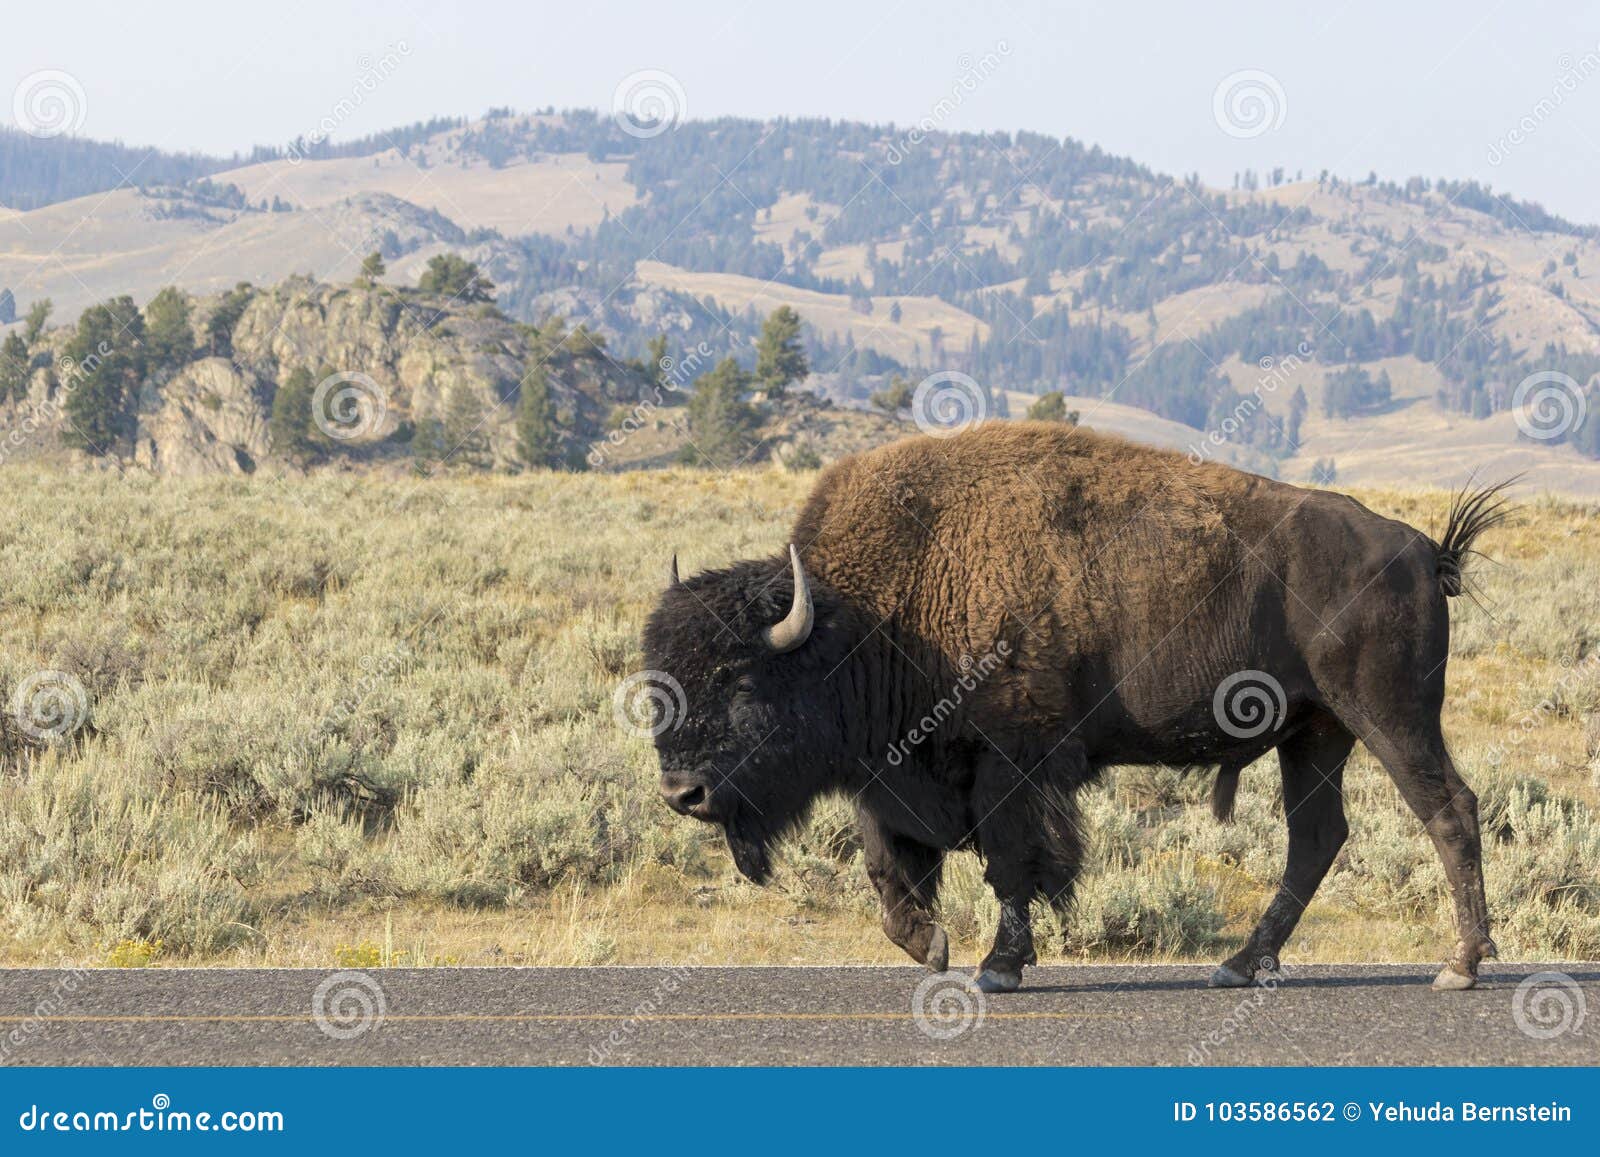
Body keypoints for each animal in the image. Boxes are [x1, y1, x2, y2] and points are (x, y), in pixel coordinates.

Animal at [644, 422, 1509, 993]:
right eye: (665, 682)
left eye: (743, 681)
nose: (683, 792)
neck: (868, 613)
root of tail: (1420, 547)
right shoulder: (894, 767)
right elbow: (888, 862)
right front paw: (929, 945)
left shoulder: (1010, 764)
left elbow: (1011, 863)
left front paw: (997, 968)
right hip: (1315, 734)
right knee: (1317, 836)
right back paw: (1239, 964)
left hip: (1387, 717)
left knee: (1448, 810)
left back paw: (1460, 965)